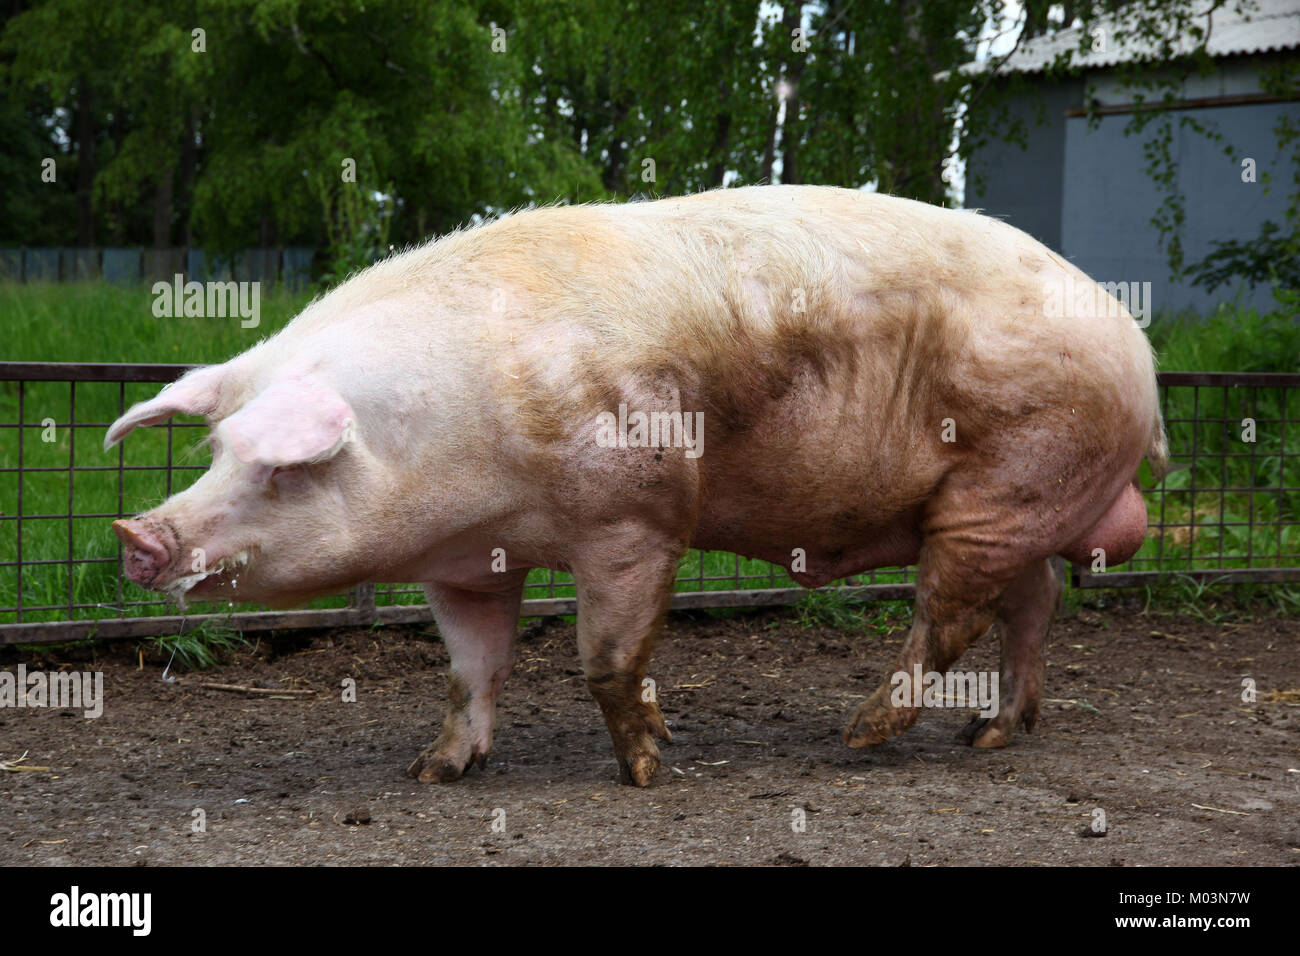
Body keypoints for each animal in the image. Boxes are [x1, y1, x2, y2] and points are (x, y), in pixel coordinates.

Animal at [107, 184, 1166, 786]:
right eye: (215, 454)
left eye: (282, 471)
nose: (136, 533)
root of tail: (1139, 350)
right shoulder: (464, 564)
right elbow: (472, 668)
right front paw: (432, 773)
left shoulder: (636, 516)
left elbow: (607, 659)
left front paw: (648, 770)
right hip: (1021, 507)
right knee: (1035, 600)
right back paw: (991, 735)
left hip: (1004, 486)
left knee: (949, 618)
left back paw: (858, 737)